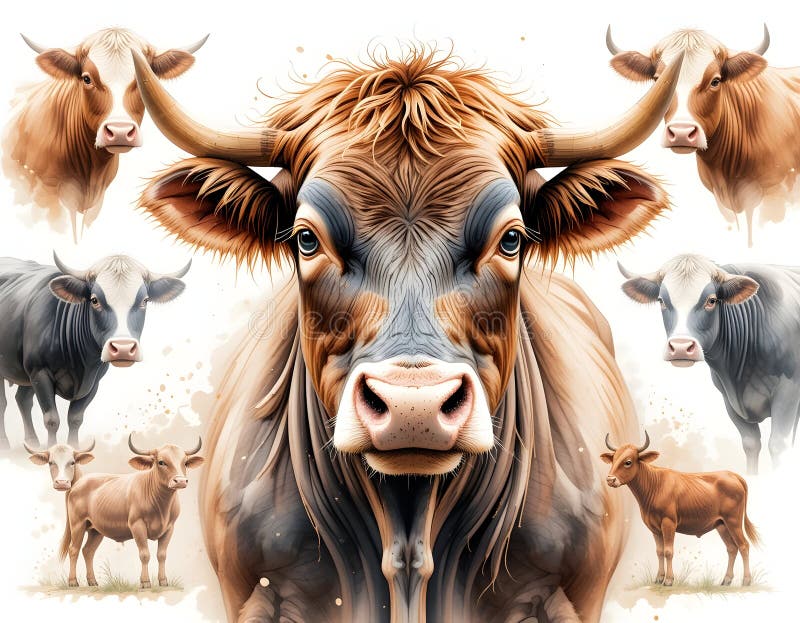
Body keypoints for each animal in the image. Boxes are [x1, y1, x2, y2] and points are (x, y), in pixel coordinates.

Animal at [0, 253, 190, 449]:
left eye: (144, 301)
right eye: (94, 300)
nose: (123, 348)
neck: (81, 363)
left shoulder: (94, 380)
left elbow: (75, 419)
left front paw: (74, 449)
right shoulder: (39, 371)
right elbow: (52, 419)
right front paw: (53, 450)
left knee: (22, 400)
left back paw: (32, 443)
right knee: (4, 404)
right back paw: (6, 444)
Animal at [59, 434, 203, 588]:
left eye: (185, 462)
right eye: (161, 462)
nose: (181, 481)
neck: (161, 507)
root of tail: (79, 482)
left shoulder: (169, 528)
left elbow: (162, 555)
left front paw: (163, 581)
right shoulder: (137, 525)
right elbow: (144, 554)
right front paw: (145, 582)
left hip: (96, 530)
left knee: (88, 551)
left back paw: (93, 581)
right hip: (77, 524)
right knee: (74, 550)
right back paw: (73, 581)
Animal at [601, 432, 760, 587]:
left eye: (628, 462)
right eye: (613, 459)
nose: (610, 479)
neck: (655, 486)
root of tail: (732, 475)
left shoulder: (669, 523)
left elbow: (668, 551)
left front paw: (669, 580)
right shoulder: (654, 528)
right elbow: (659, 552)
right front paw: (659, 578)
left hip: (733, 521)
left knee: (744, 546)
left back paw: (746, 580)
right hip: (721, 524)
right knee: (732, 548)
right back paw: (726, 580)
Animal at [618, 253, 800, 474]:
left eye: (711, 300)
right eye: (661, 300)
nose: (680, 347)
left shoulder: (789, 392)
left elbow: (778, 445)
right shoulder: (729, 399)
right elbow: (751, 443)